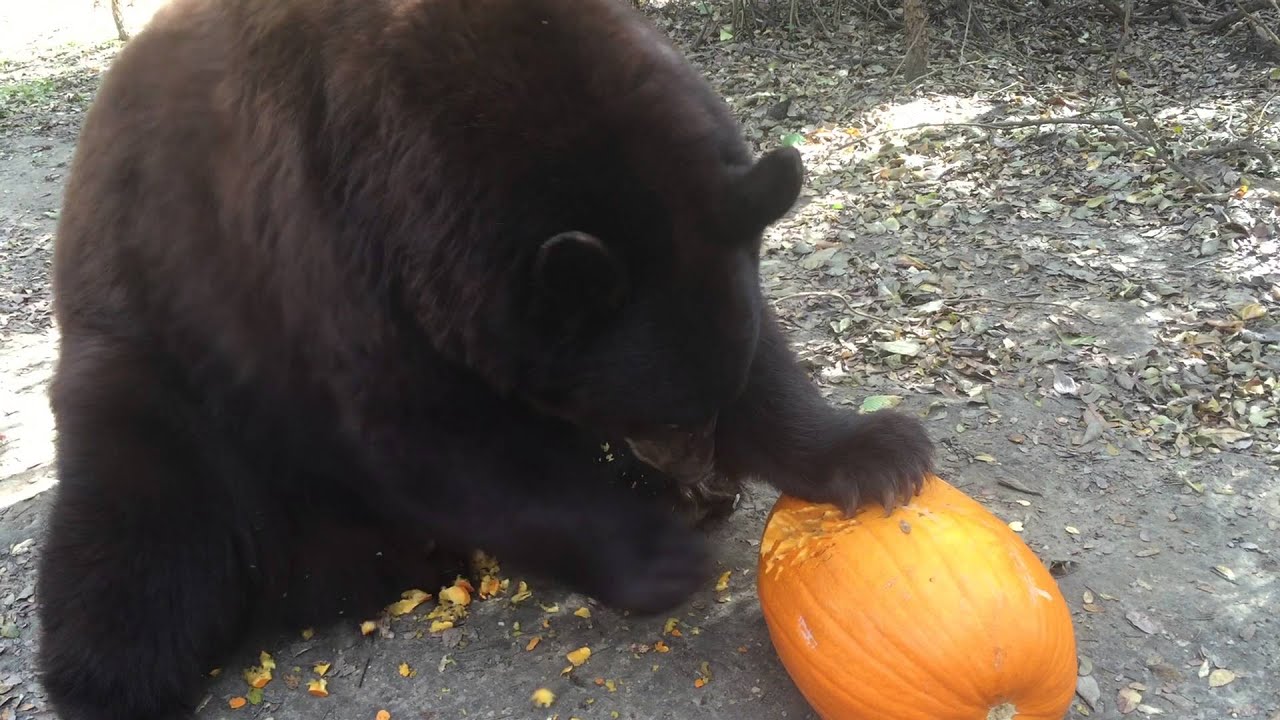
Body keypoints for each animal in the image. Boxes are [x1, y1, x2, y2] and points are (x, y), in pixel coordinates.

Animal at [33, 0, 934, 718]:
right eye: (661, 412)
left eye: (699, 403)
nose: (708, 482)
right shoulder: (327, 250)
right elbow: (429, 437)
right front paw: (654, 553)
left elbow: (762, 346)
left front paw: (877, 450)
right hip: (155, 363)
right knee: (138, 528)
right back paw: (110, 675)